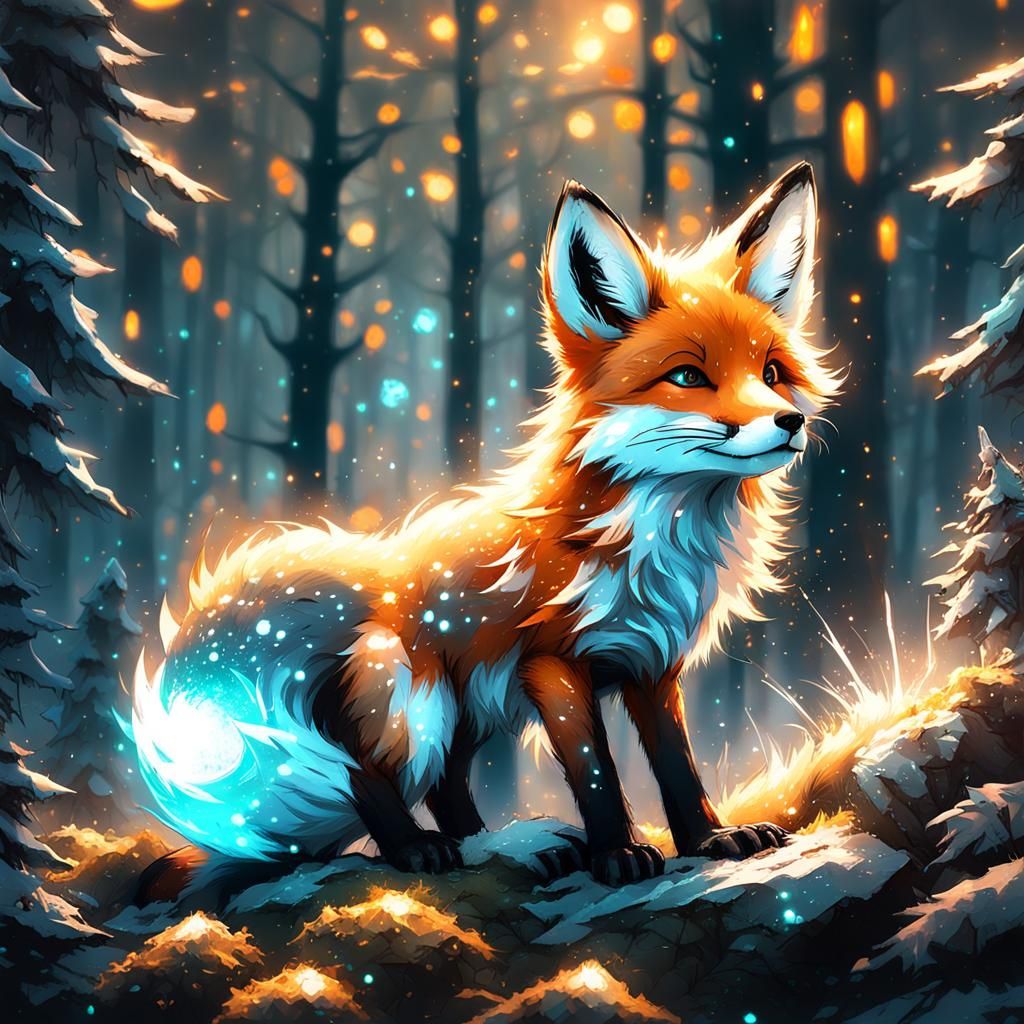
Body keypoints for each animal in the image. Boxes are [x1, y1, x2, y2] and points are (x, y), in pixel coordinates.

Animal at [129, 161, 840, 889]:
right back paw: (420, 849)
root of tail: (374, 581)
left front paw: (708, 838)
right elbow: (596, 771)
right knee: (362, 770)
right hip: (418, 701)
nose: (789, 422)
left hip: (468, 712)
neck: (645, 541)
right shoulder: (552, 663)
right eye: (689, 377)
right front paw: (617, 853)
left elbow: (676, 764)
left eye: (771, 372)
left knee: (446, 784)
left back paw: (496, 845)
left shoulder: (651, 662)